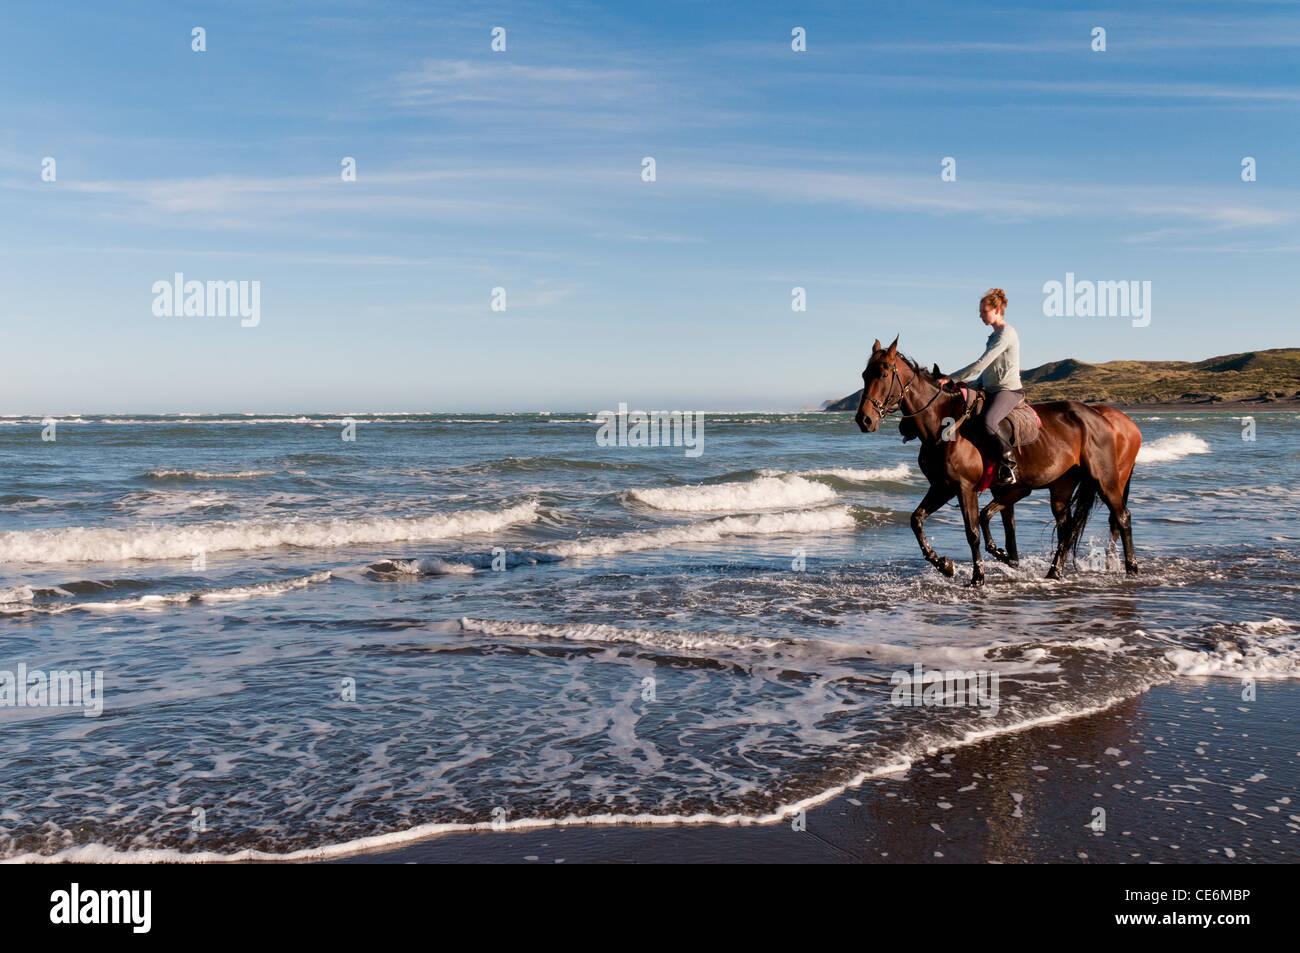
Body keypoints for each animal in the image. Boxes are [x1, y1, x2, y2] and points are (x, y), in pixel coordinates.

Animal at [854, 337, 1141, 586]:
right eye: (864, 375)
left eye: (883, 375)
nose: (864, 420)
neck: (944, 424)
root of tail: (1100, 416)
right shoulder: (943, 487)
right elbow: (917, 520)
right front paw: (944, 565)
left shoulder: (966, 487)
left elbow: (973, 530)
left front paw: (978, 577)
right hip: (1062, 486)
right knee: (1067, 526)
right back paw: (1054, 572)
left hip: (1105, 480)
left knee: (1121, 516)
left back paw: (1131, 568)